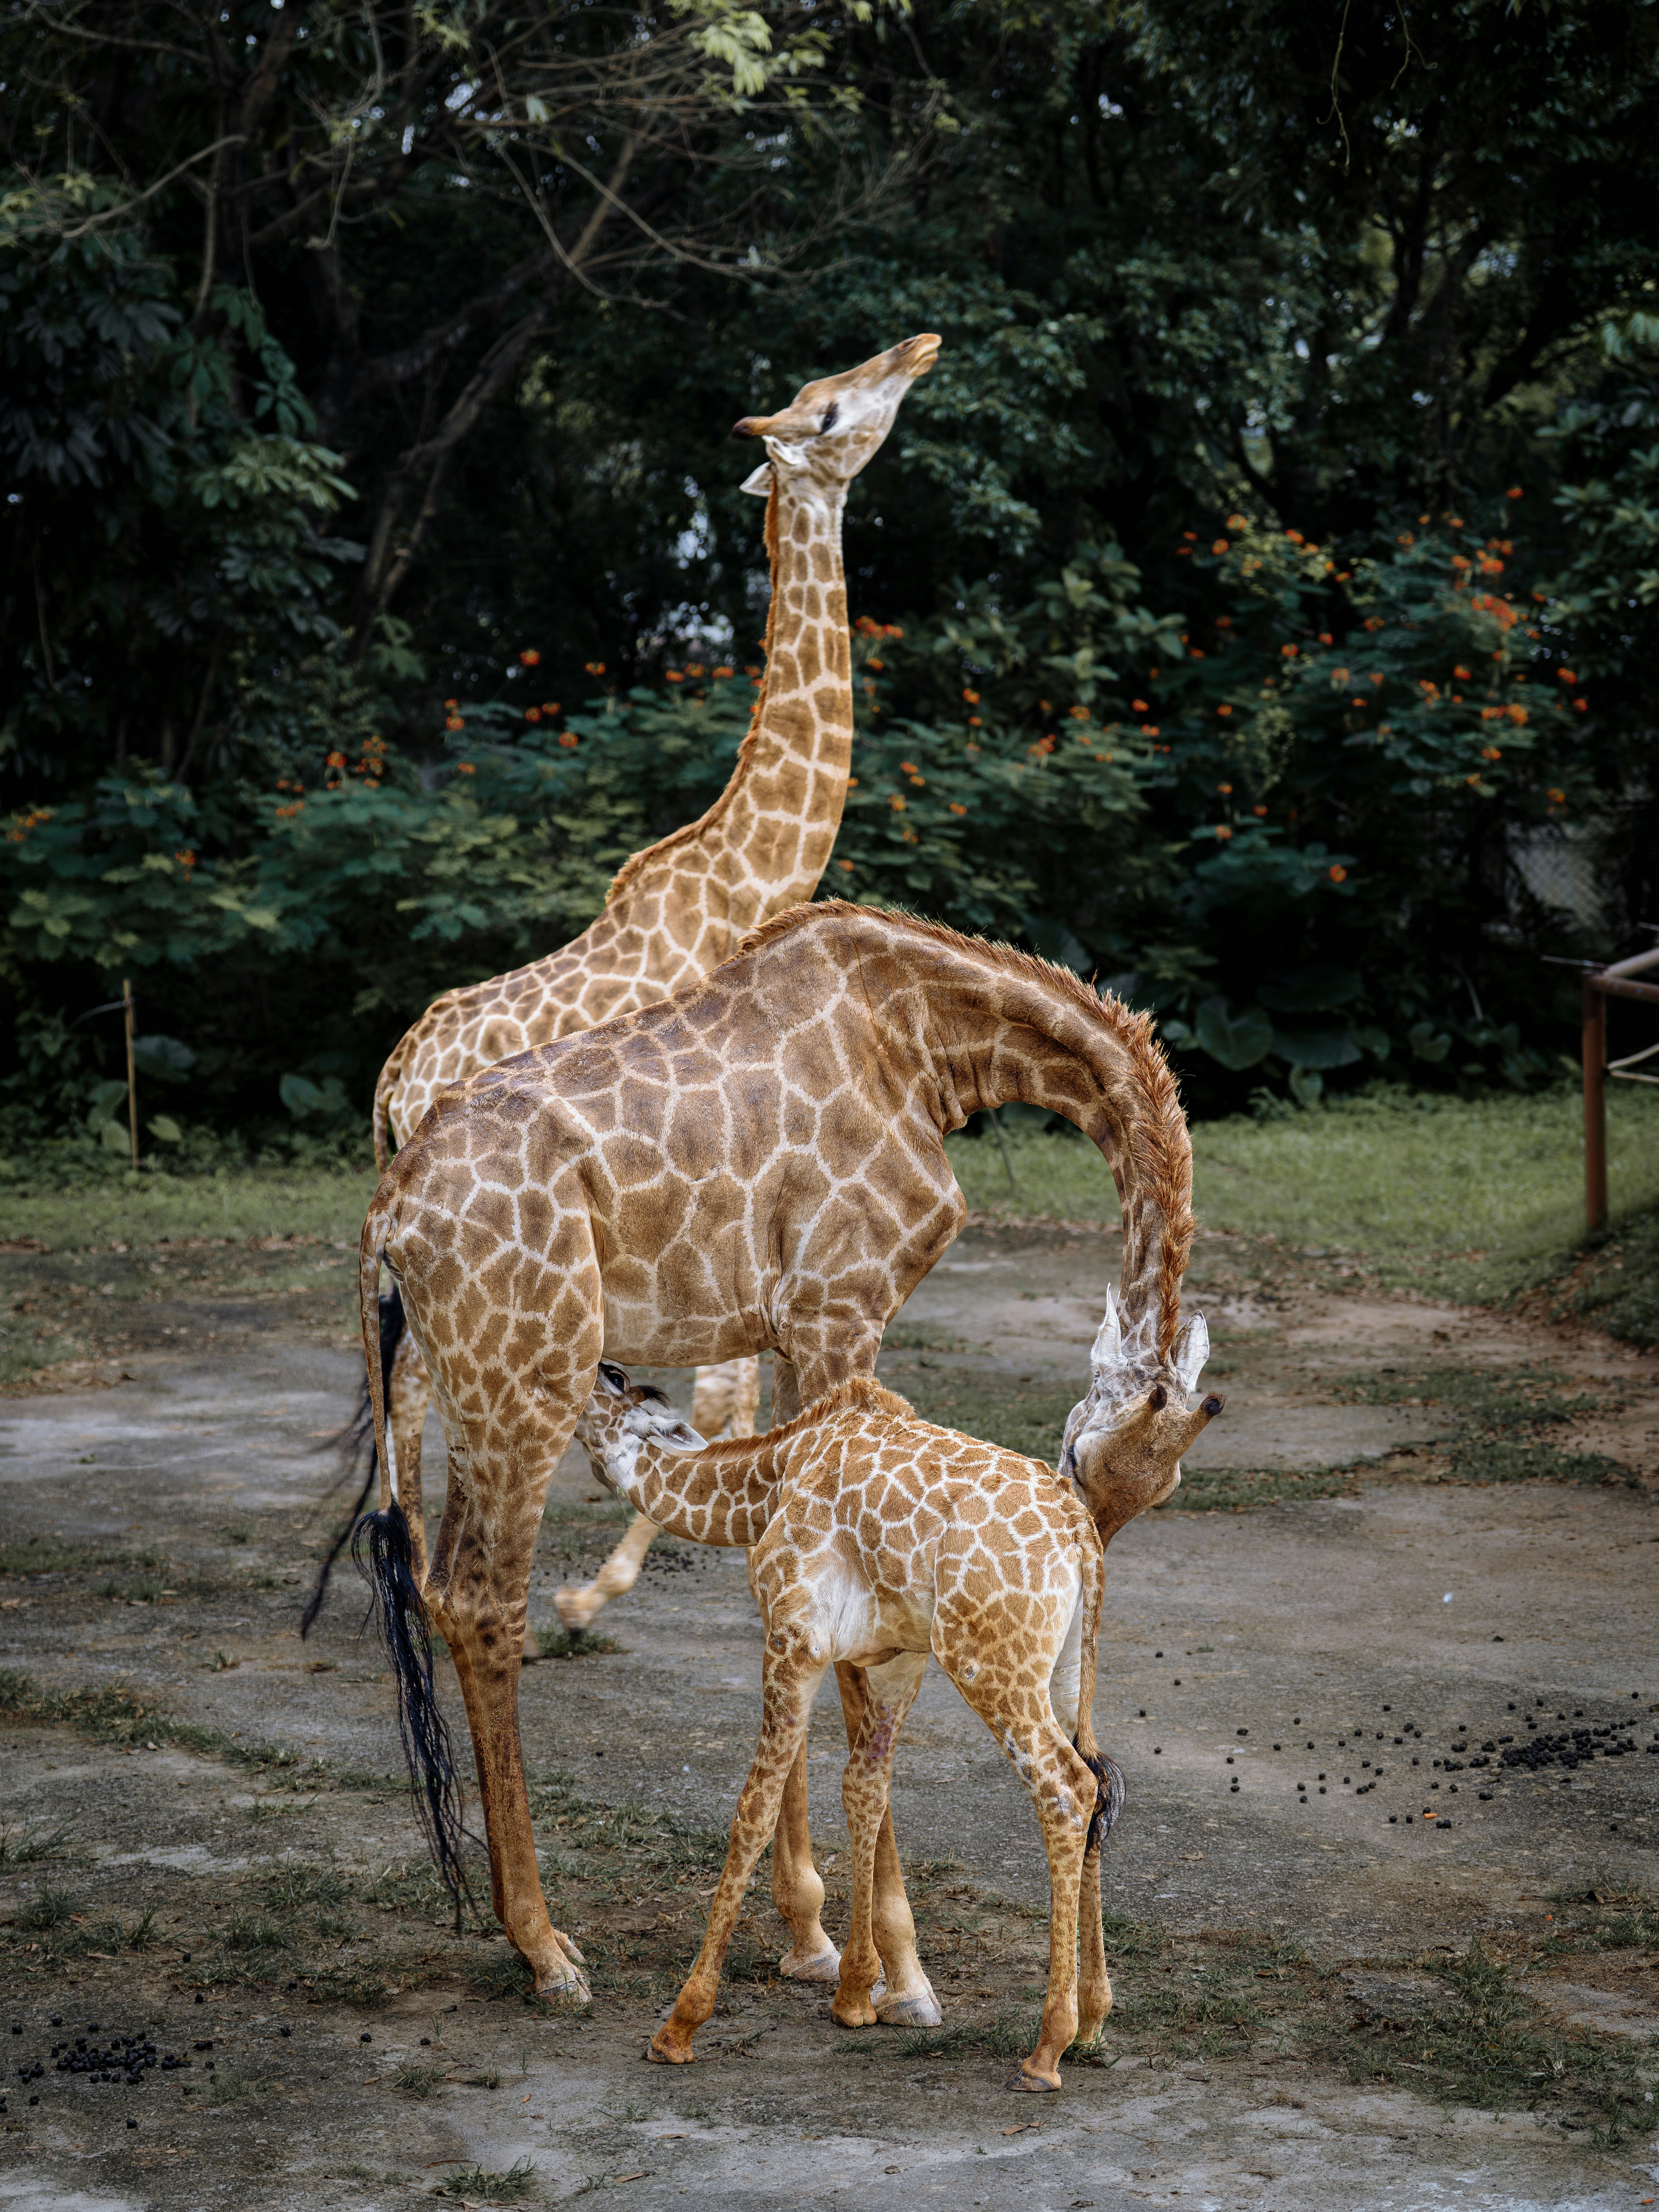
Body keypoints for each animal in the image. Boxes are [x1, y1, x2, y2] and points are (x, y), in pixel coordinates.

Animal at [352, 900, 1196, 2009]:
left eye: (1158, 1485)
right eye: (1094, 1465)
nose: (1077, 1567)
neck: (930, 1039)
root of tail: (391, 1213)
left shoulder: (793, 1332)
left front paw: (811, 1932)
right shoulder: (841, 1304)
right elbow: (856, 1676)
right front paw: (902, 1972)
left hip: (445, 1376)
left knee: (436, 1581)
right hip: (529, 1375)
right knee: (484, 1598)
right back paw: (547, 1949)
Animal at [367, 328, 942, 1599]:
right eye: (829, 414)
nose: (921, 344)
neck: (744, 876)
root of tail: (395, 1080)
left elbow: (728, 1388)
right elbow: (726, 1390)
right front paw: (599, 1588)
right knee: (429, 1385)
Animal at [572, 1312, 1223, 2089]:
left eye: (605, 1376)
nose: (578, 1371)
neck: (768, 1480)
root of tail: (1080, 1538)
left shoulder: (793, 1637)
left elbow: (753, 1809)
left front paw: (679, 2025)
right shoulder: (894, 1659)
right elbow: (865, 1787)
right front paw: (859, 1995)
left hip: (990, 1662)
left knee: (1064, 1788)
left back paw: (1045, 2050)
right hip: (1069, 1671)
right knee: (1099, 1782)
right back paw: (1093, 2021)